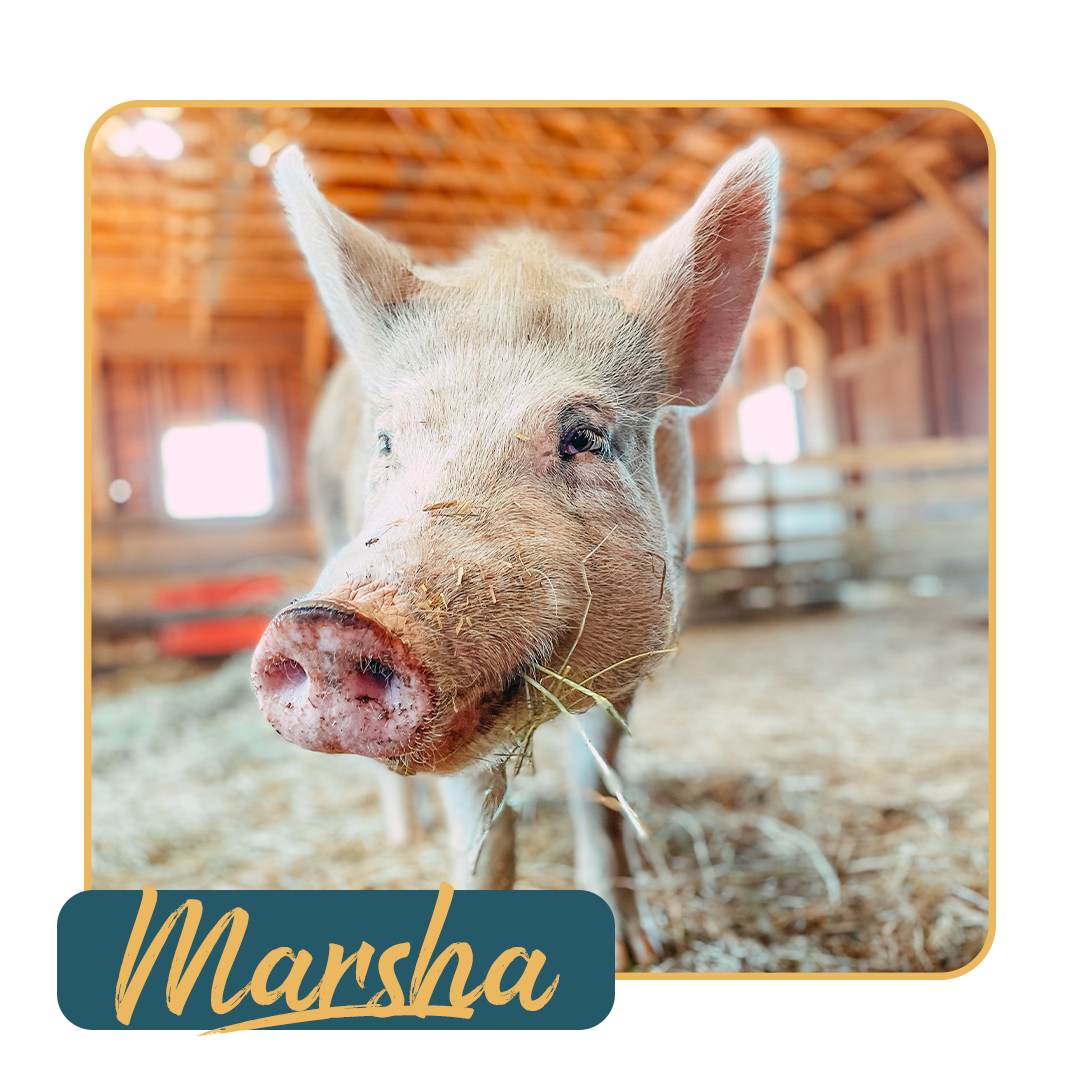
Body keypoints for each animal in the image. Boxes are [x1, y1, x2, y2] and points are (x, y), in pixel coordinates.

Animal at [251, 139, 778, 968]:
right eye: (387, 441)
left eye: (584, 436)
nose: (328, 624)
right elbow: (483, 834)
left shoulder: (625, 666)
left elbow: (598, 793)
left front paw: (634, 953)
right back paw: (405, 839)